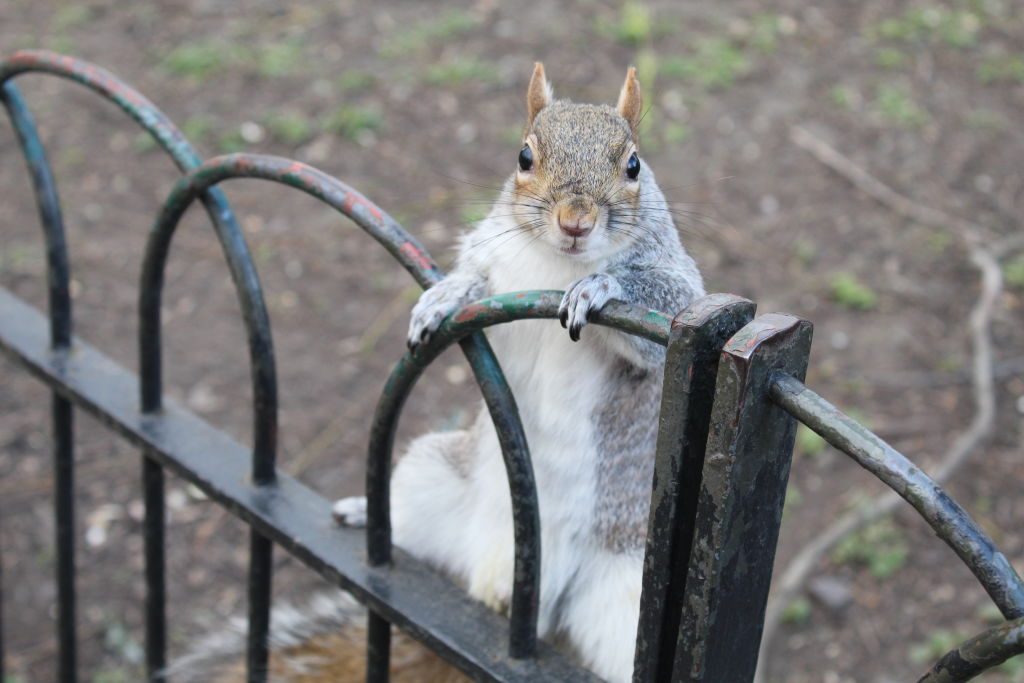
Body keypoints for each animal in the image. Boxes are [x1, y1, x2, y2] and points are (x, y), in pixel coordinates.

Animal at [170, 63, 704, 683]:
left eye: (633, 165)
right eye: (524, 156)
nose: (576, 221)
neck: (557, 262)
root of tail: (518, 600)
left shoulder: (676, 293)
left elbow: (658, 316)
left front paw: (599, 286)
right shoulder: (494, 265)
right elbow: (476, 282)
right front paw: (445, 295)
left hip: (622, 596)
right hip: (429, 474)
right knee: (404, 525)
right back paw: (366, 514)